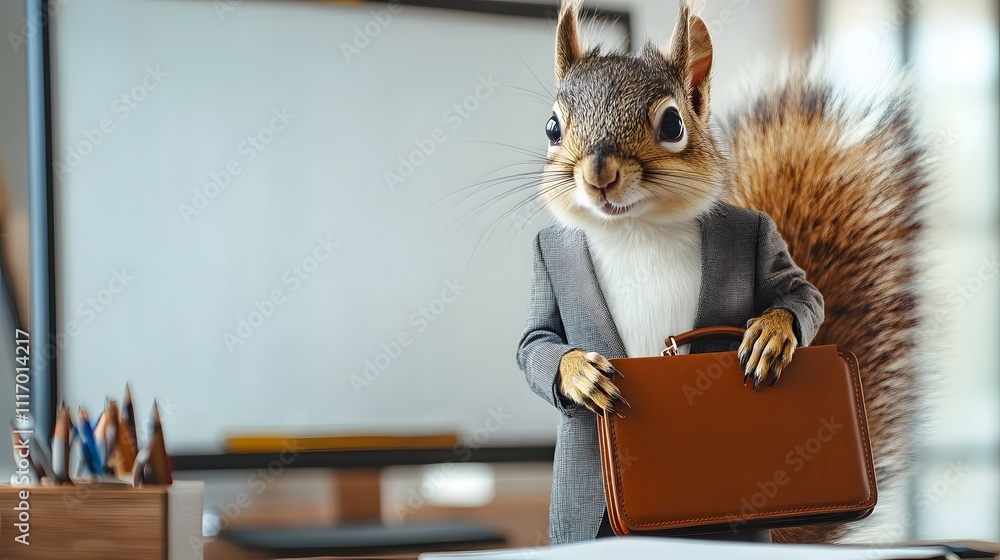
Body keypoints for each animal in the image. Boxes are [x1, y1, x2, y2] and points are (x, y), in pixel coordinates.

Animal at [516, 0, 927, 546]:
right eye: (551, 128)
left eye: (673, 124)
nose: (598, 174)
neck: (635, 228)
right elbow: (536, 341)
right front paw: (580, 370)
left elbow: (803, 295)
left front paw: (771, 333)